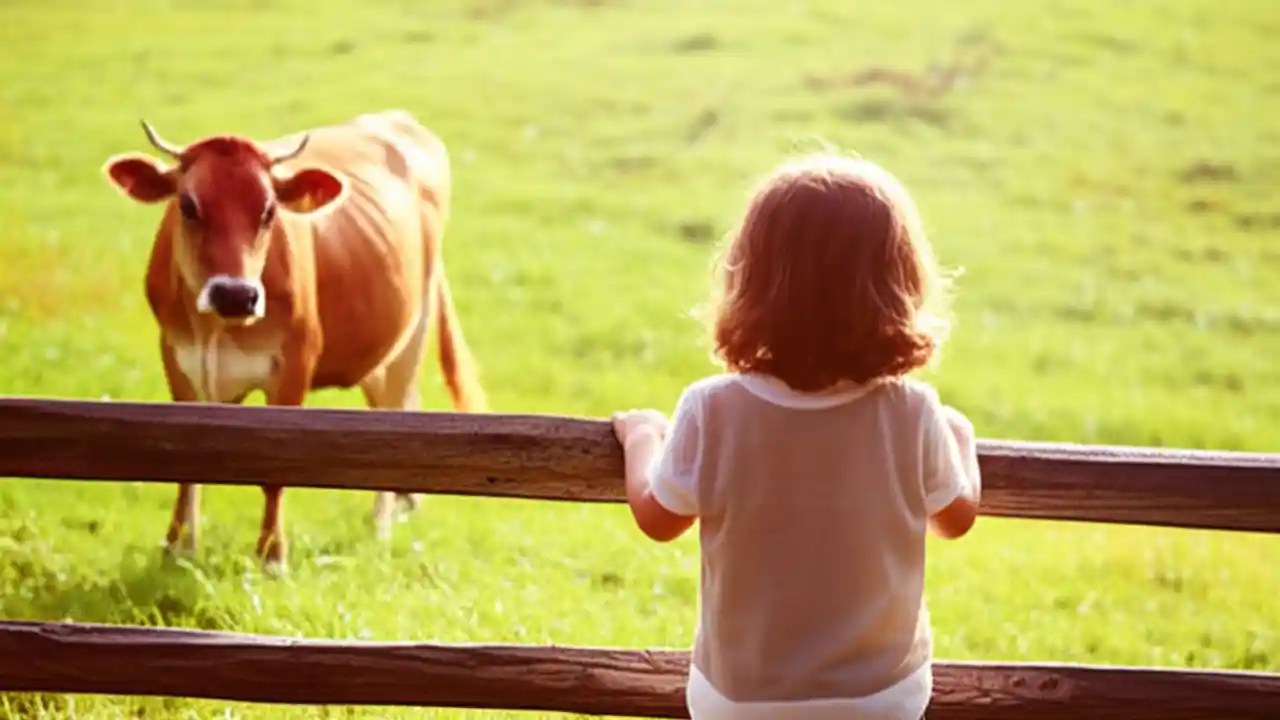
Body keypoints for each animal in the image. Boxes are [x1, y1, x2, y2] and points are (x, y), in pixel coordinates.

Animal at [102, 109, 486, 572]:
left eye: (269, 211)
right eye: (188, 205)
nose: (235, 294)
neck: (217, 330)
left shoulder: (294, 366)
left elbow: (276, 473)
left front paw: (272, 557)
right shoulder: (178, 361)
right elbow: (185, 467)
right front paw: (178, 549)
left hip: (413, 328)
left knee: (398, 409)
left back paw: (381, 526)